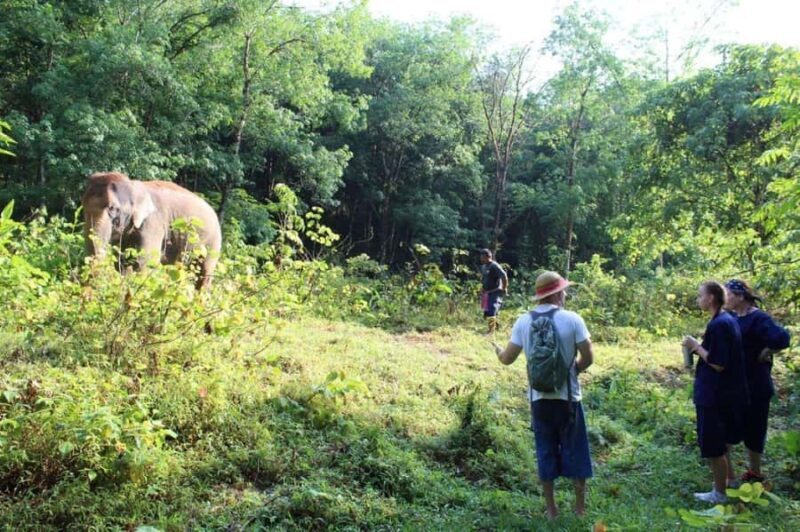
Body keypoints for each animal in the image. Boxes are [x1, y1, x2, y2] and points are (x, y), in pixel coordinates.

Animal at [82, 172, 222, 289]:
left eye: (113, 208)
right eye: (83, 206)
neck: (133, 185)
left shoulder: (153, 224)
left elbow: (145, 263)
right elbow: (122, 264)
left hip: (213, 243)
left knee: (204, 274)